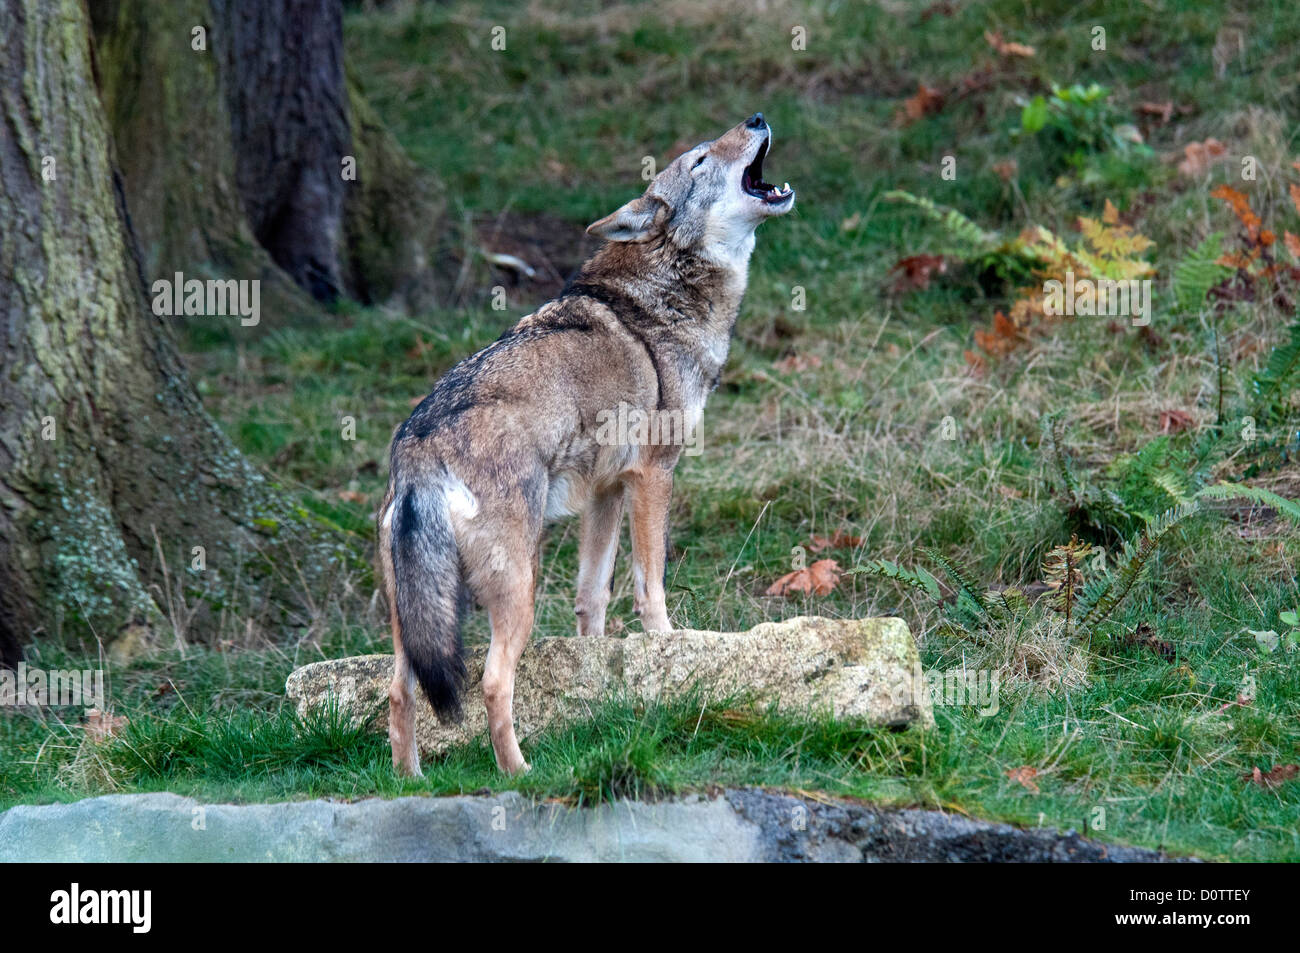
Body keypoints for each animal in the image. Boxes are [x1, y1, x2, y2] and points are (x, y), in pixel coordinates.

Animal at [379, 113, 795, 775]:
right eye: (701, 160)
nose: (756, 118)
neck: (668, 292)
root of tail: (416, 452)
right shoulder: (653, 475)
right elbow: (650, 585)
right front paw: (666, 647)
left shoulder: (606, 491)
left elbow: (592, 596)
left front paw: (596, 676)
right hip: (518, 588)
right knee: (492, 681)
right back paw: (519, 773)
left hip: (415, 615)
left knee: (400, 690)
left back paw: (411, 782)